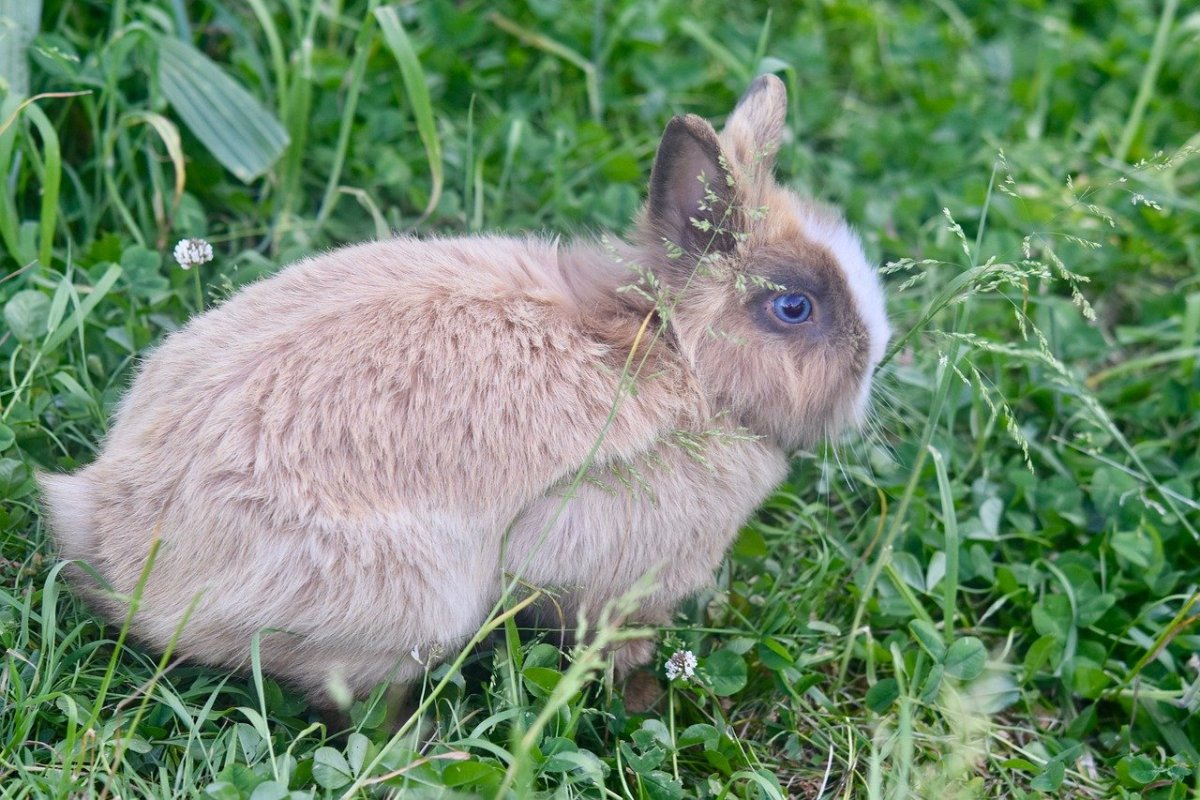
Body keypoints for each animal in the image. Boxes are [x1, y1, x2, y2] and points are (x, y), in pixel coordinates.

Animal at [39, 74, 889, 705]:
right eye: (793, 308)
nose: (872, 365)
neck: (675, 355)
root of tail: (124, 553)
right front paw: (646, 696)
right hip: (413, 607)